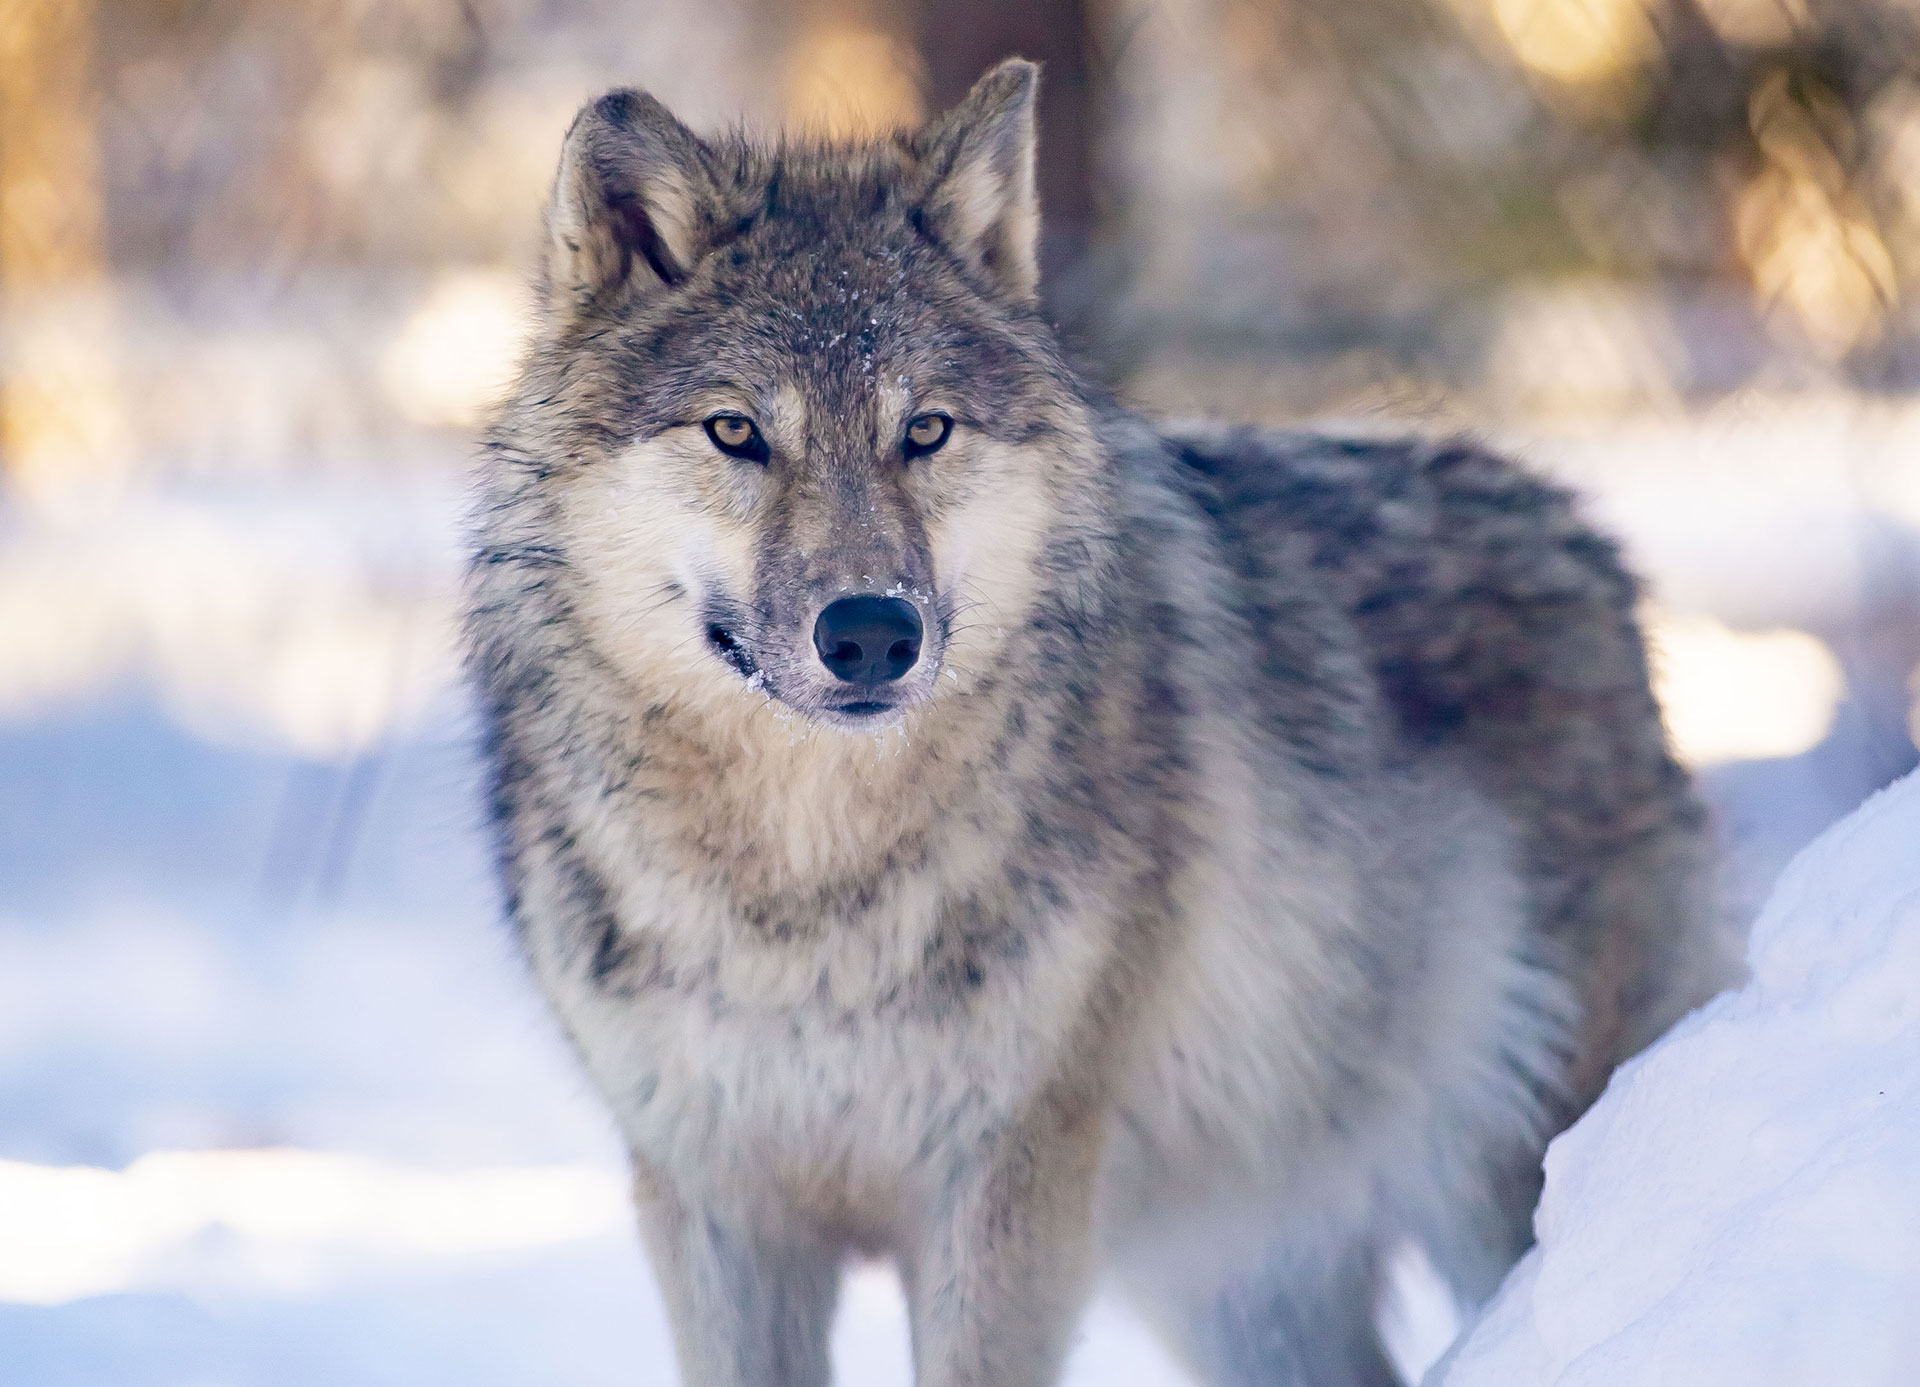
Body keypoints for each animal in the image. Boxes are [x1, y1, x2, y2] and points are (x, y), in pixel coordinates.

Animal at [463, 59, 1732, 1387]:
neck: (805, 895)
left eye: (924, 430)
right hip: (1239, 1280)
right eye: (736, 432)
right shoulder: (713, 1205)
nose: (871, 632)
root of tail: (1589, 545)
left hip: (1498, 1173)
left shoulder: (1008, 1182)